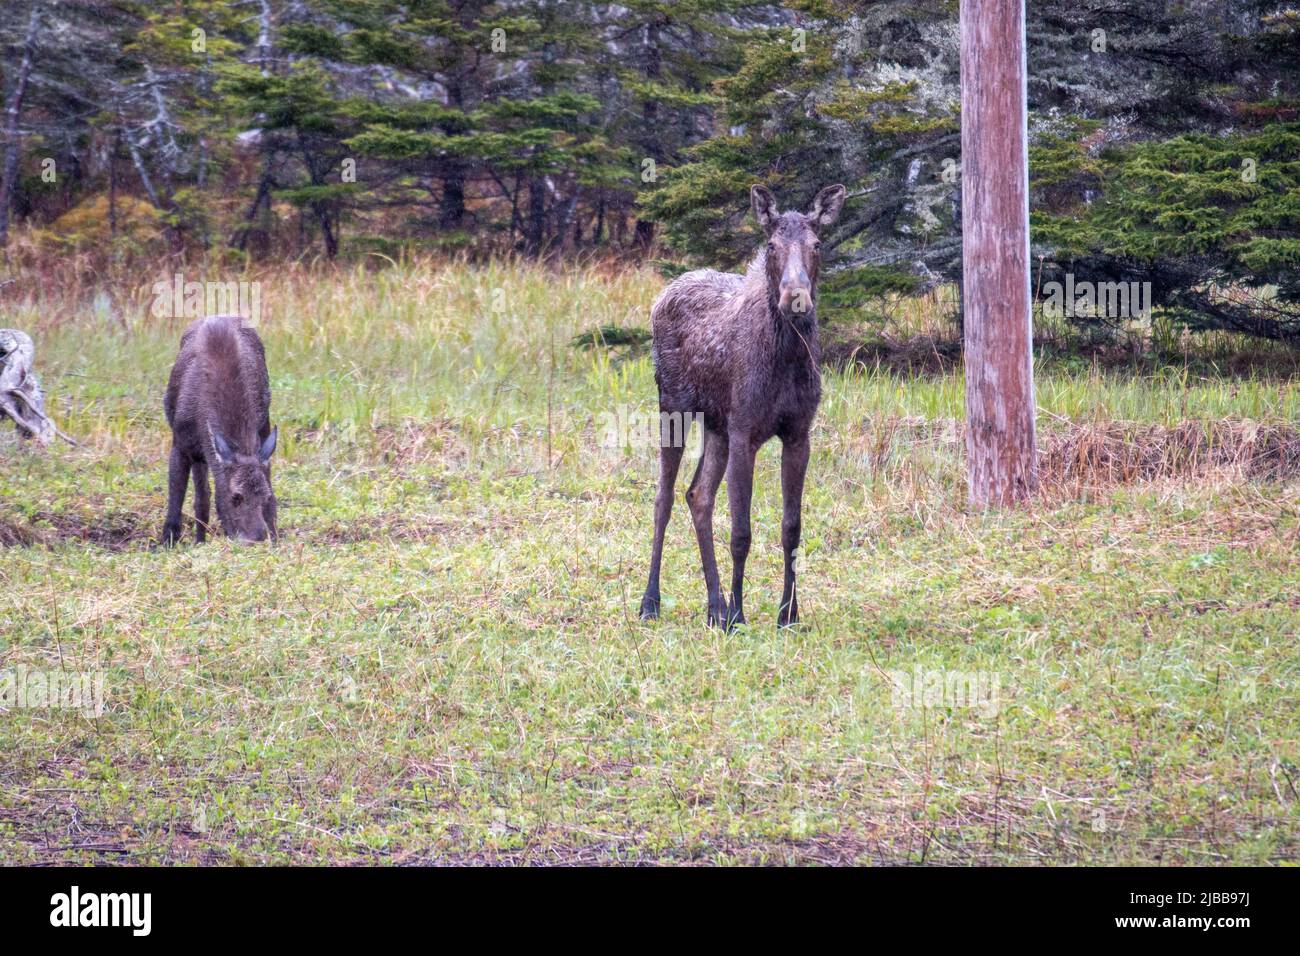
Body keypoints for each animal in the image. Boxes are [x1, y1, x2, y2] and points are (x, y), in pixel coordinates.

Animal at [160, 314, 278, 546]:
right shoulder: (180, 445)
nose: (255, 539)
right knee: (202, 495)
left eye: (266, 496)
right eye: (236, 497)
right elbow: (177, 496)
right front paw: (167, 540)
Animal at [639, 183, 846, 630]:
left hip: (715, 426)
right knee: (664, 497)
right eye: (771, 245)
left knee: (697, 495)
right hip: (674, 408)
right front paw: (739, 613)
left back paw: (713, 605)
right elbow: (741, 533)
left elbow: (791, 528)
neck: (786, 358)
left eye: (817, 244)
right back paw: (652, 602)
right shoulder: (744, 433)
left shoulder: (798, 434)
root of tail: (663, 293)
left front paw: (788, 612)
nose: (795, 296)